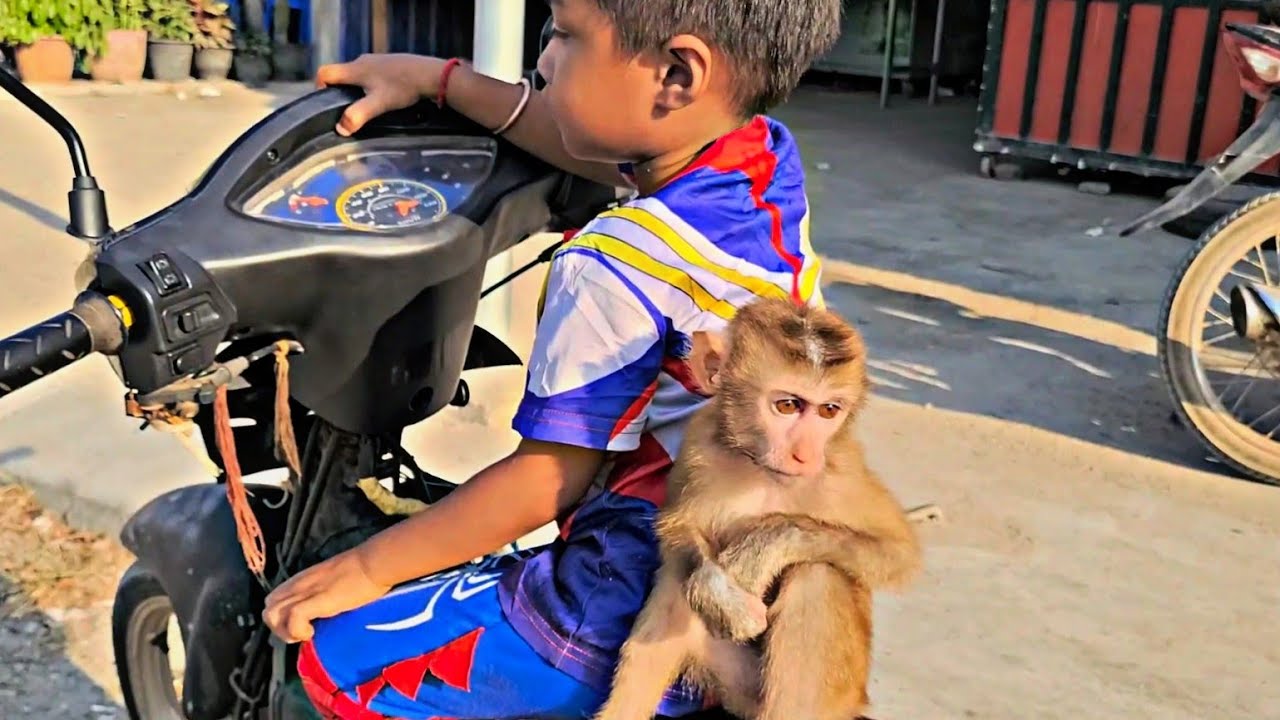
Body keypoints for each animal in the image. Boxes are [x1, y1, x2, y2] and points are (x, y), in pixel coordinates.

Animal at [590, 296, 922, 720]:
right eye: (788, 405)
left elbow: (898, 553)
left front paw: (762, 548)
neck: (763, 471)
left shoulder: (841, 472)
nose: (805, 455)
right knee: (677, 593)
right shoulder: (700, 440)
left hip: (838, 695)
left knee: (816, 573)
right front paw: (718, 592)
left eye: (829, 410)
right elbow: (679, 533)